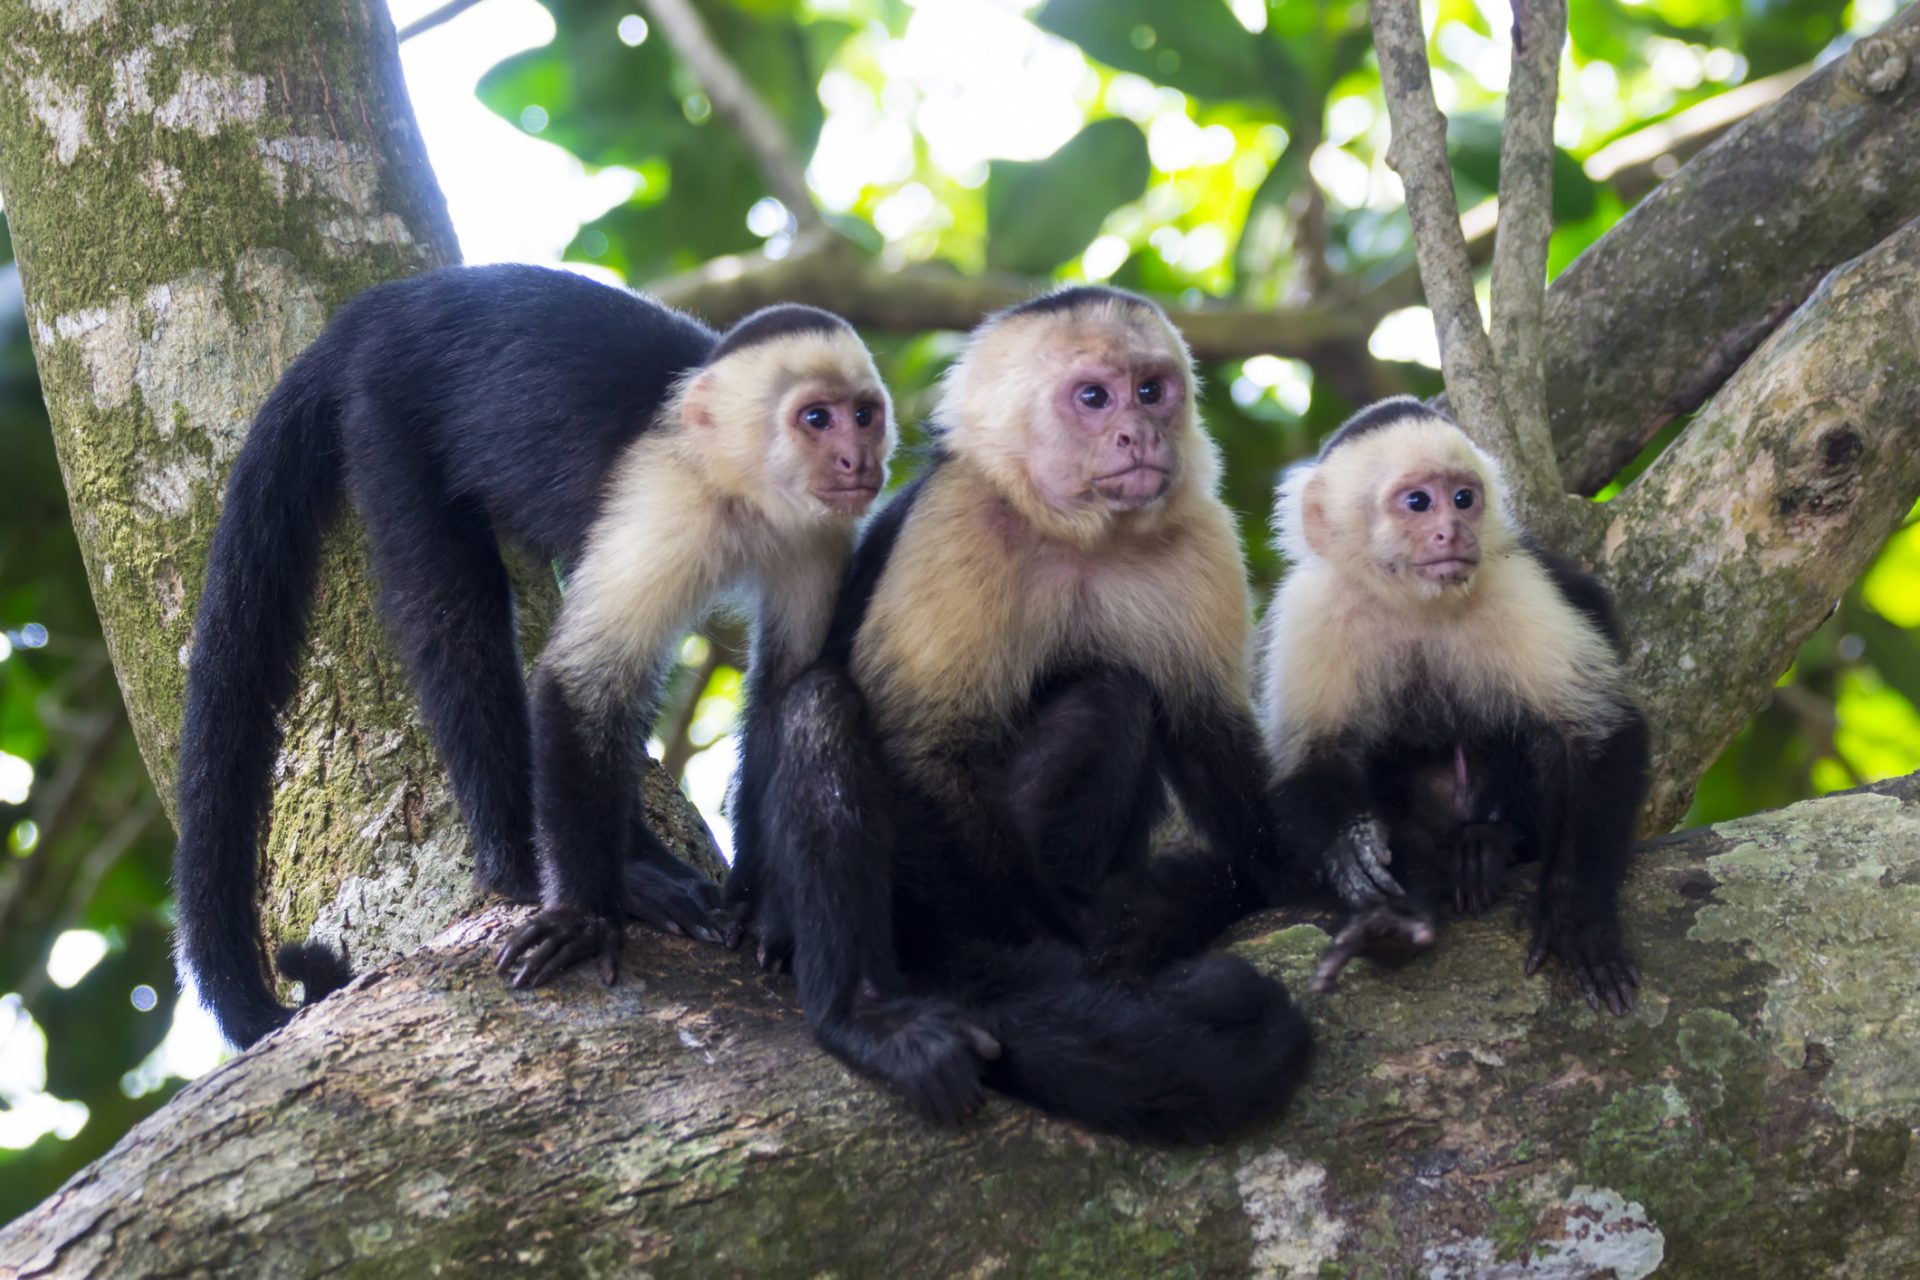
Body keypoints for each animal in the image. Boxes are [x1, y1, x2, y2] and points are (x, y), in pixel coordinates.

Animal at [173, 264, 893, 1048]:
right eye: (816, 419)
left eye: (864, 414)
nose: (860, 459)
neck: (738, 486)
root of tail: (386, 305)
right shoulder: (665, 503)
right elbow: (579, 685)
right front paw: (584, 916)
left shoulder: (818, 534)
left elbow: (786, 692)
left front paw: (771, 908)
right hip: (385, 409)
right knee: (457, 615)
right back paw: (534, 866)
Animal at [732, 286, 1312, 1142]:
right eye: (1094, 398)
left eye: (1152, 391)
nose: (1139, 434)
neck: (1071, 529)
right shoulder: (956, 523)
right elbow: (922, 749)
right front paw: (1017, 966)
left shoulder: (1198, 534)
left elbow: (1208, 730)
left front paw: (1310, 869)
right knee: (823, 710)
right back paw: (864, 1009)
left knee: (1114, 696)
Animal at [1257, 397, 1651, 1014]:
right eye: (1418, 502)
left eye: (1465, 497)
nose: (1453, 531)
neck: (1414, 604)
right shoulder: (1310, 609)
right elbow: (1312, 758)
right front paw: (1355, 853)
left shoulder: (1517, 583)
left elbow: (1598, 735)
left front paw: (1576, 914)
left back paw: (1487, 843)